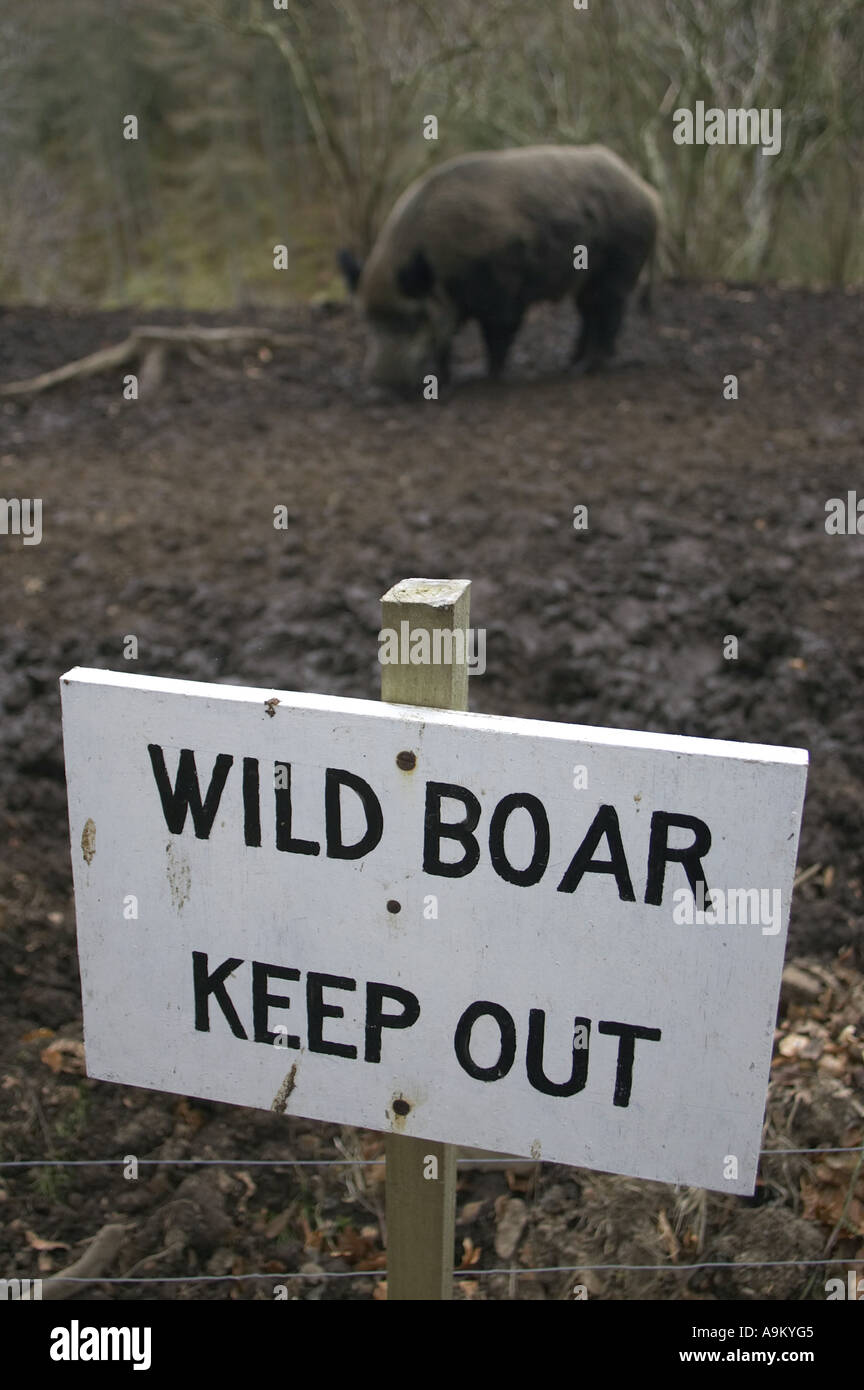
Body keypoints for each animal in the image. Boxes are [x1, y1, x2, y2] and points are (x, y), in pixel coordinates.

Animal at [339, 144, 661, 395]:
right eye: (368, 319)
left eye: (409, 319)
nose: (381, 386)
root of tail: (648, 193)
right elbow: (446, 343)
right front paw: (447, 380)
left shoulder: (502, 293)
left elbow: (497, 334)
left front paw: (487, 379)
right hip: (588, 277)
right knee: (588, 312)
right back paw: (571, 364)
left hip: (620, 264)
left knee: (608, 310)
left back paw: (588, 368)